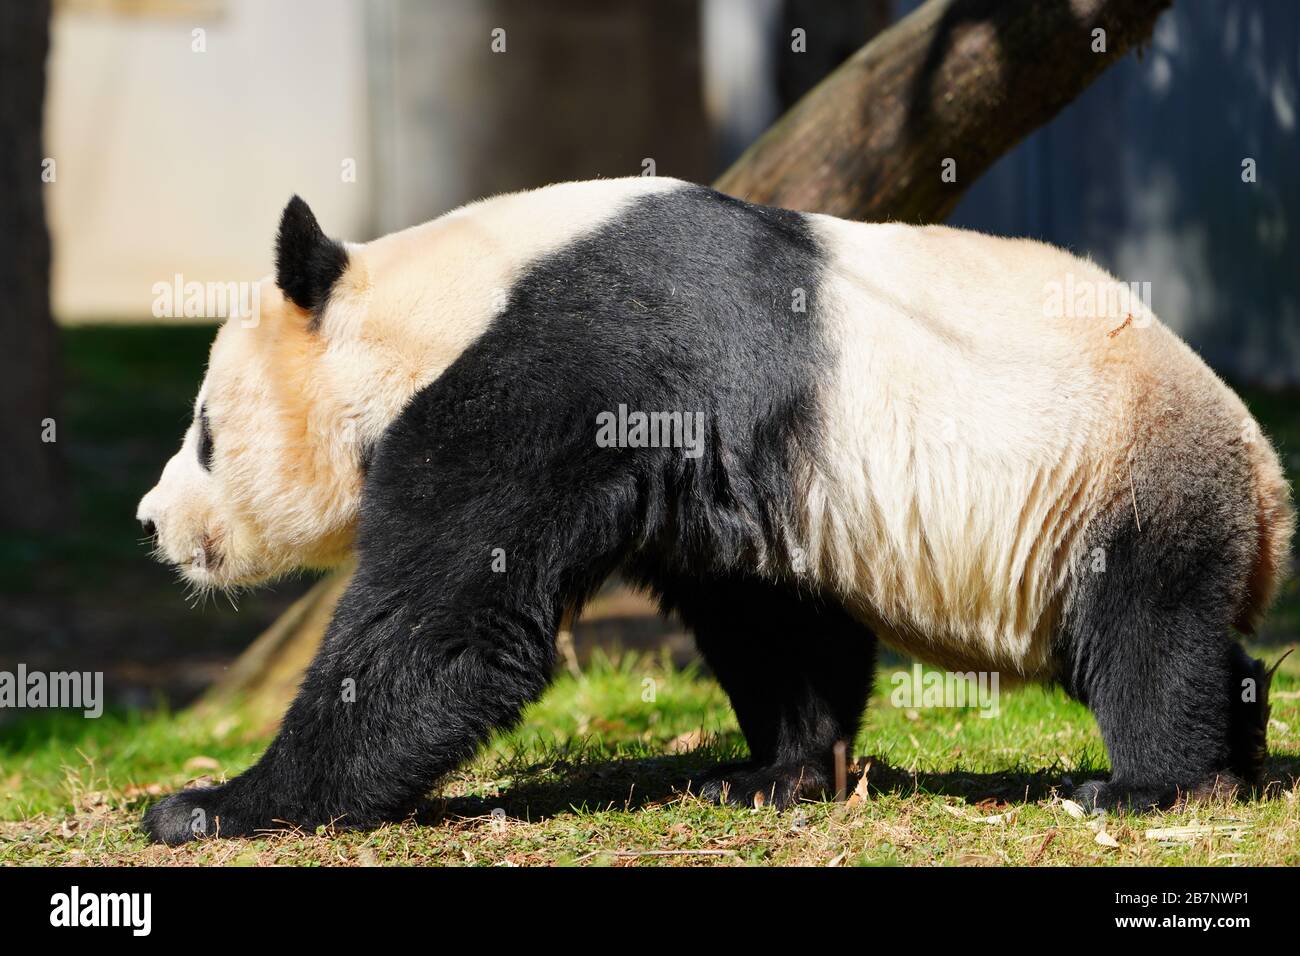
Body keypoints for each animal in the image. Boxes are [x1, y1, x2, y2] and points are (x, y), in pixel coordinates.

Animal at [137, 177, 1294, 844]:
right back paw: (1238, 742)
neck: (438, 302)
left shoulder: (556, 371)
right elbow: (769, 610)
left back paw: (1150, 786)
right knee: (1183, 640)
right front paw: (775, 773)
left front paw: (215, 804)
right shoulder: (715, 452)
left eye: (204, 429)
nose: (153, 520)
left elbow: (447, 629)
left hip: (1113, 476)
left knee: (1144, 633)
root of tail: (1266, 476)